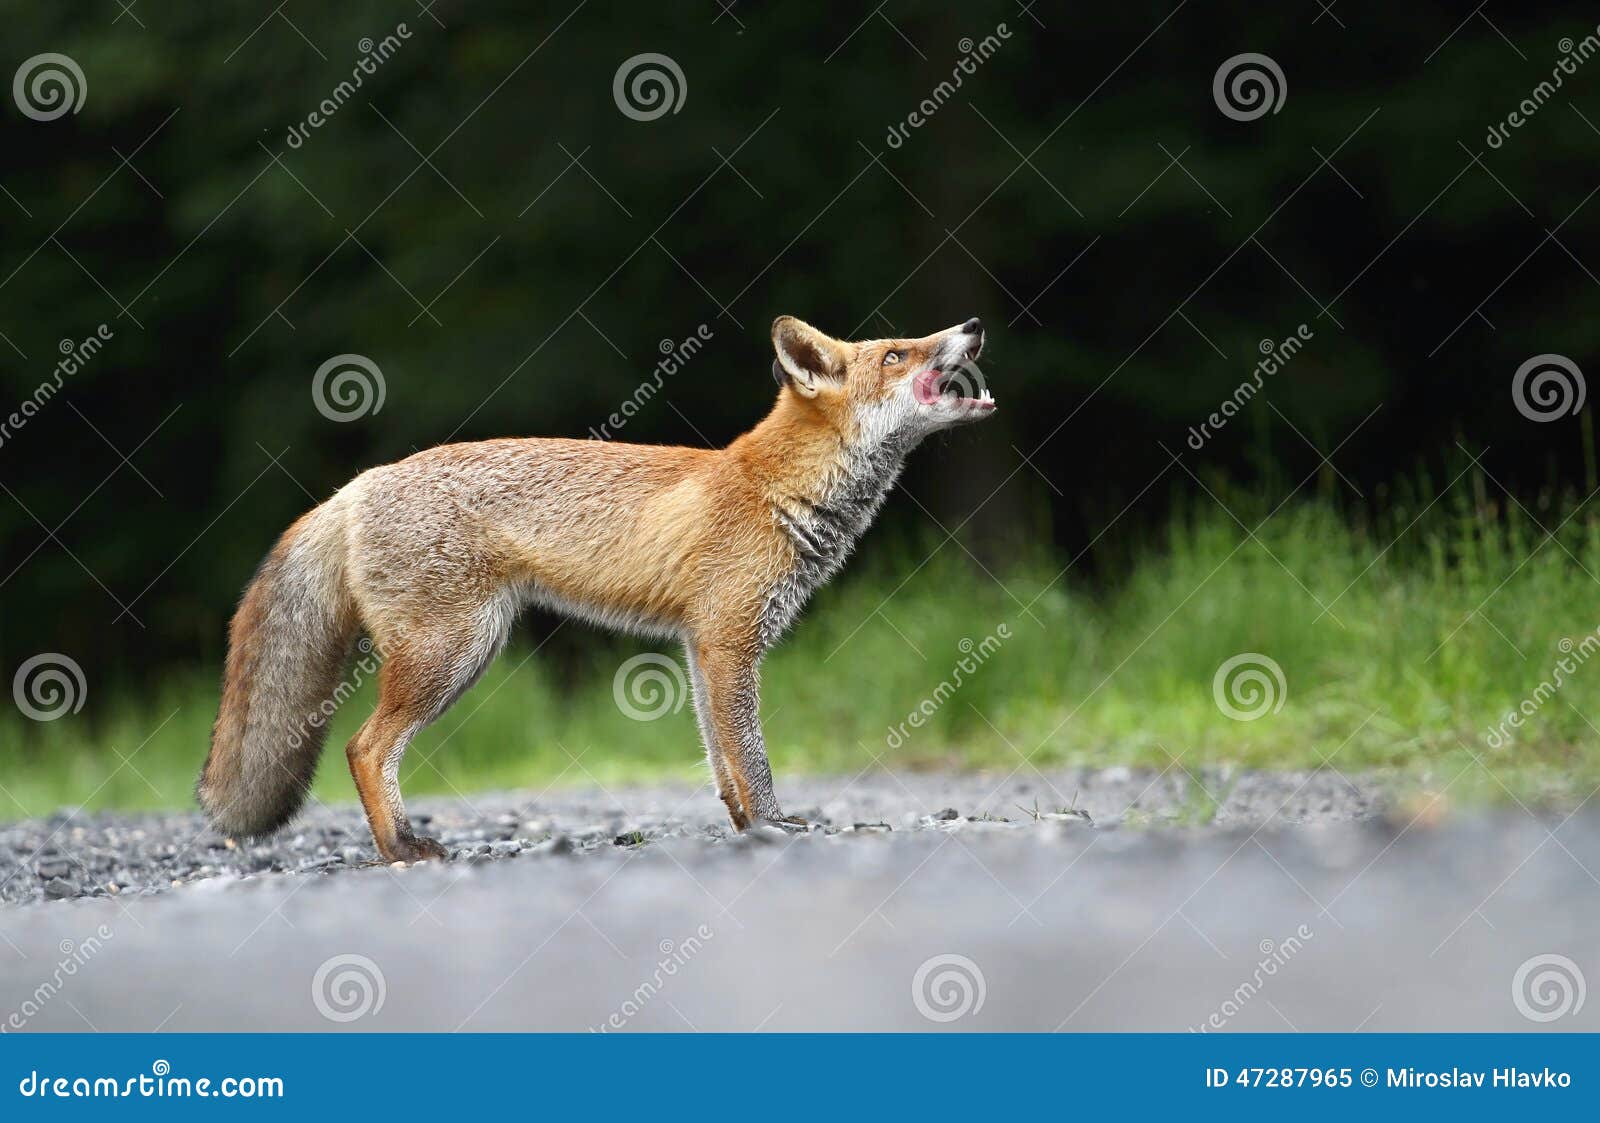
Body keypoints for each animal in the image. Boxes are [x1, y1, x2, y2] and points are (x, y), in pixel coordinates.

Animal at [198, 314, 994, 862]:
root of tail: (355, 487)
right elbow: (754, 757)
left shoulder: (702, 647)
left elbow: (721, 761)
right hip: (455, 653)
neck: (773, 490)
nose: (973, 326)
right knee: (364, 748)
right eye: (896, 353)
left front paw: (744, 826)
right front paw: (774, 825)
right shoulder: (732, 641)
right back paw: (403, 849)